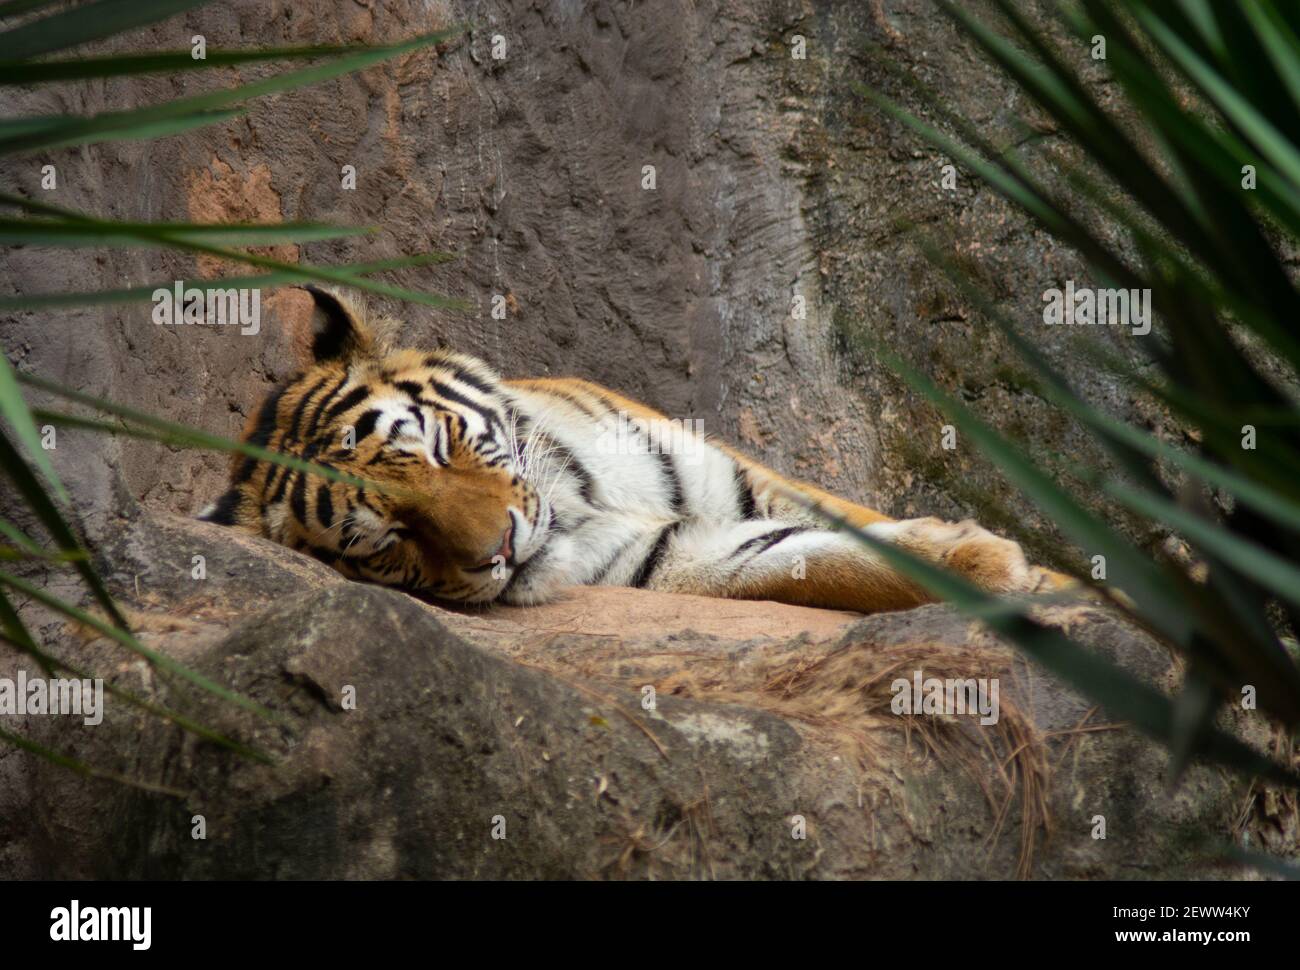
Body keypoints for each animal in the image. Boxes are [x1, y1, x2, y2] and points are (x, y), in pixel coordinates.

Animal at [199, 286, 1071, 612]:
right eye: (385, 543)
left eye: (441, 448)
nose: (500, 548)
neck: (578, 504)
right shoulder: (665, 556)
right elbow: (817, 561)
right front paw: (997, 567)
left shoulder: (747, 480)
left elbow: (847, 527)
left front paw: (1023, 568)